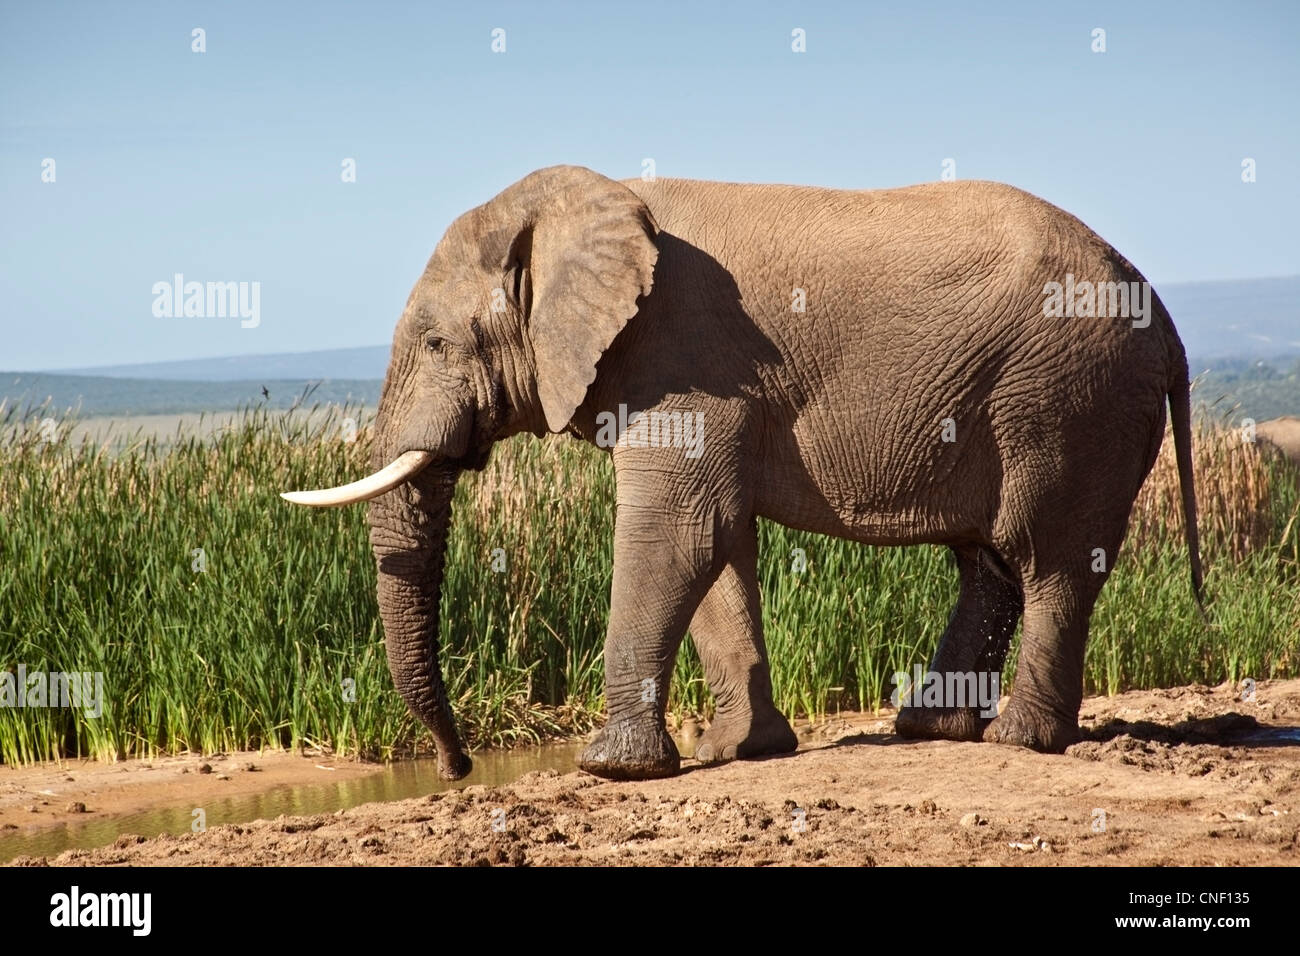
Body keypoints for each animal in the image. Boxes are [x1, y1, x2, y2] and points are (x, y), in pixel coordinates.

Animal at [283, 165, 1202, 781]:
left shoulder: (685, 361)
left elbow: (676, 534)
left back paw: (1021, 740)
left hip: (1066, 399)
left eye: (438, 343)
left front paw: (610, 767)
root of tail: (1164, 315)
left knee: (1048, 557)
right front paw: (738, 751)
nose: (458, 767)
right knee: (991, 561)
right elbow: (719, 542)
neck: (584, 202)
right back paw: (928, 729)